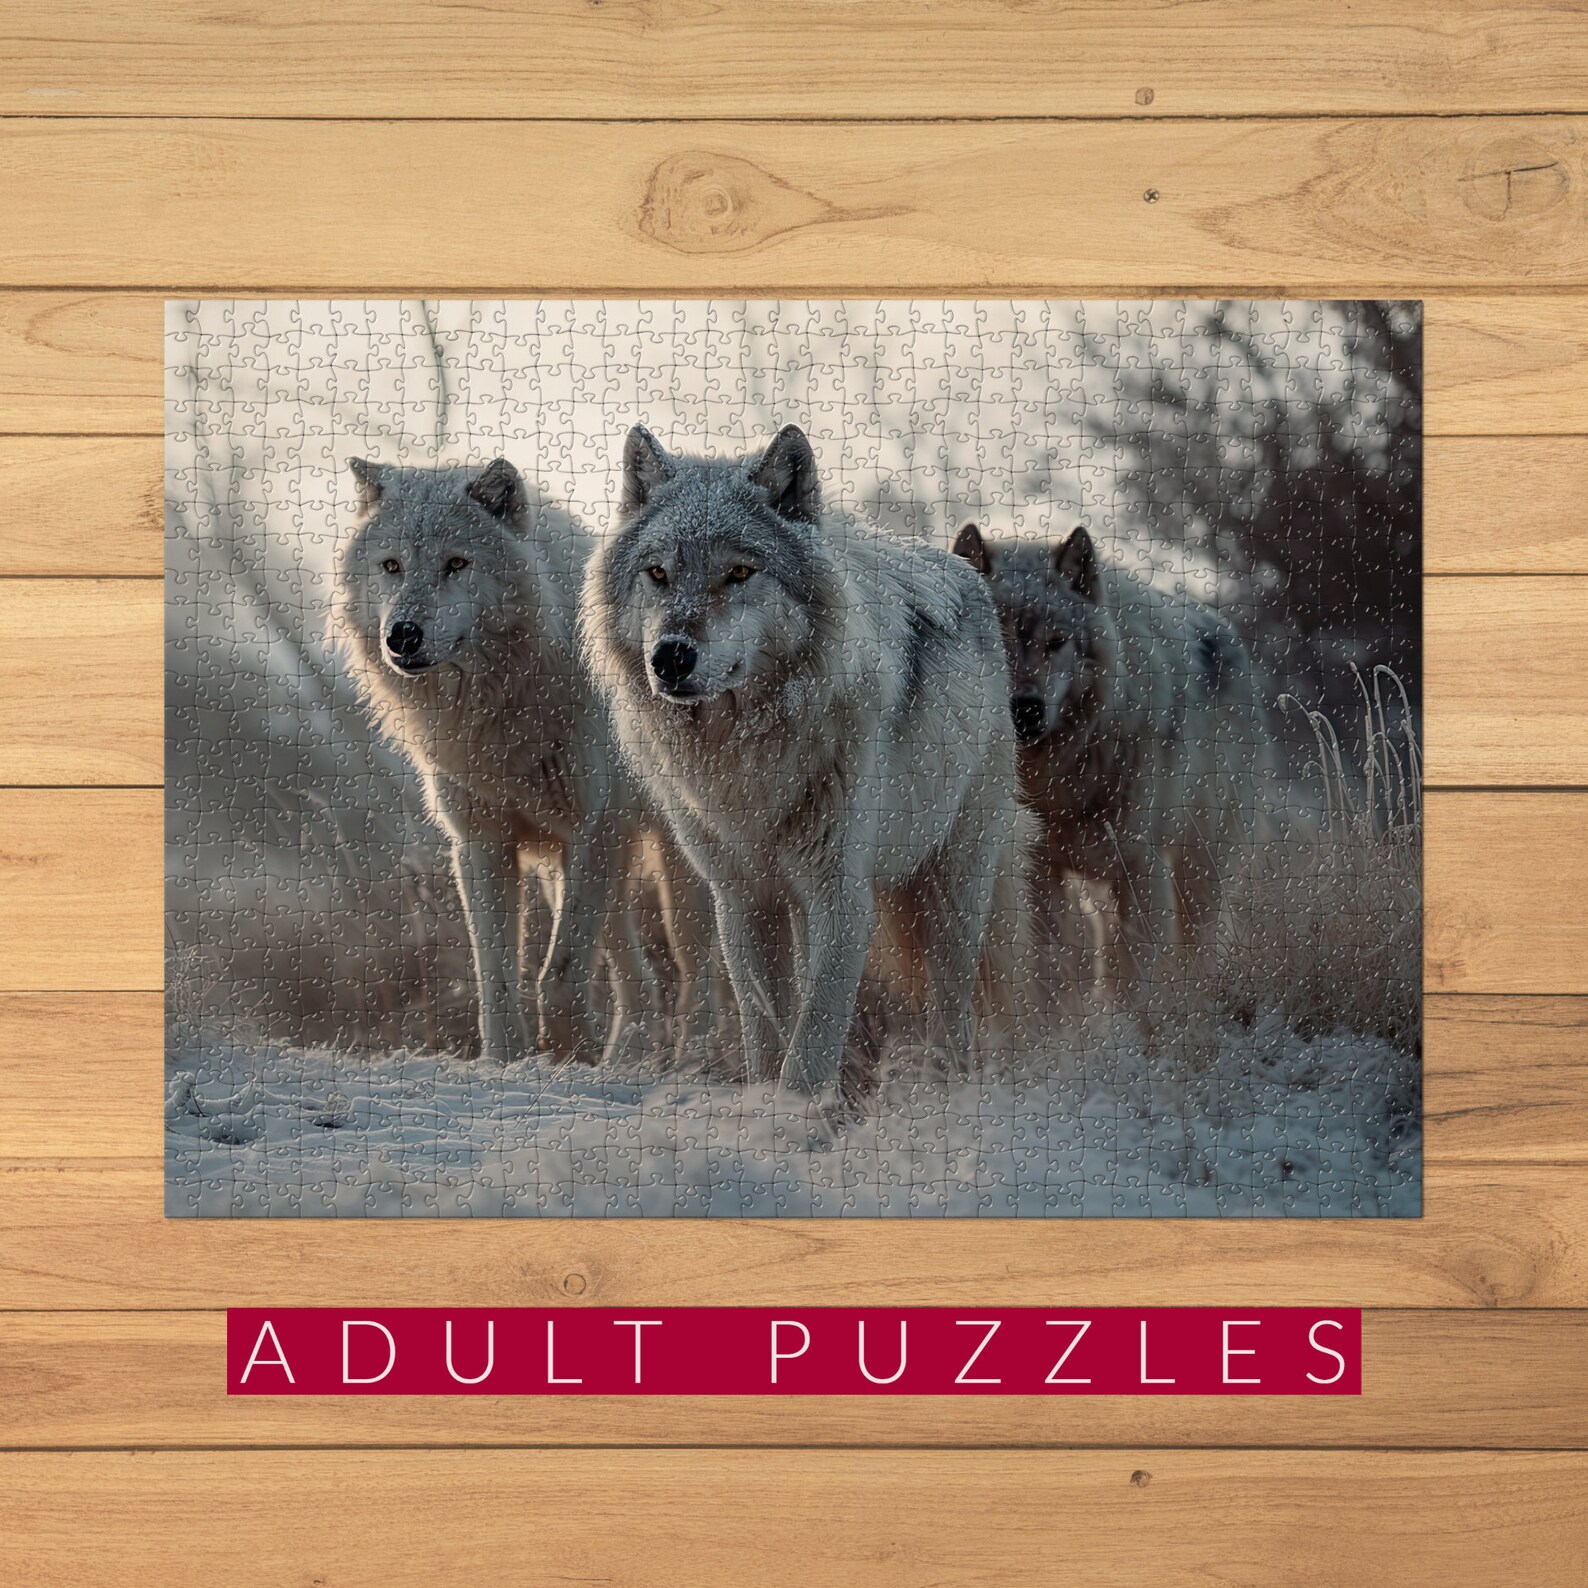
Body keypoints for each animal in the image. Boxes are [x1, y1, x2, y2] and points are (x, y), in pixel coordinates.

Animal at [332, 457, 715, 1067]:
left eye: (456, 564)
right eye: (391, 566)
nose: (402, 635)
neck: (503, 705)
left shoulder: (594, 830)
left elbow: (557, 976)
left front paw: (561, 1051)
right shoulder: (482, 842)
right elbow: (498, 975)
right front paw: (505, 1060)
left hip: (676, 869)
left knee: (696, 967)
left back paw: (693, 1059)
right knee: (638, 975)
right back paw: (626, 1056)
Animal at [581, 424, 1029, 1096]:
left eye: (740, 572)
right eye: (658, 573)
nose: (671, 656)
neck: (747, 755)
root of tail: (966, 569)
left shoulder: (841, 895)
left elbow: (813, 1037)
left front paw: (797, 1114)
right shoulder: (742, 899)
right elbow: (767, 1031)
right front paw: (765, 1106)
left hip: (955, 886)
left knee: (953, 1010)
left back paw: (942, 1093)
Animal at [952, 521, 1273, 1008]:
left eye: (1056, 643)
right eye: (999, 639)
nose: (1026, 710)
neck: (1062, 773)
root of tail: (1227, 632)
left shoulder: (1141, 868)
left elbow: (1133, 984)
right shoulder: (1041, 872)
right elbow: (1050, 976)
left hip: (1199, 867)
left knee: (1194, 949)